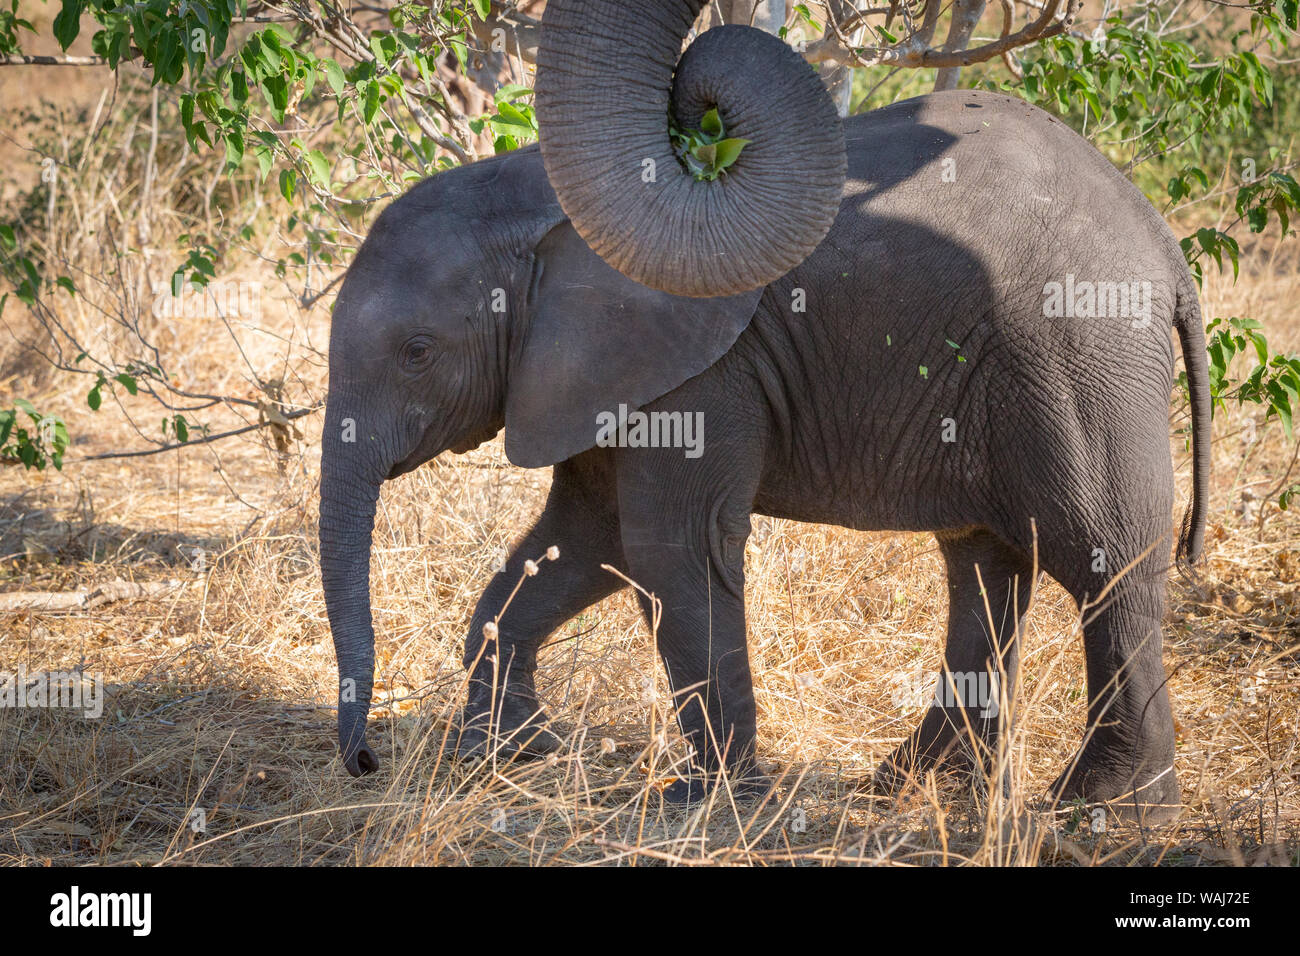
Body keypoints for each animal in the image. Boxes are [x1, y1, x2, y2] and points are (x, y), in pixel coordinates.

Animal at [318, 1, 1210, 823]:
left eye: (417, 351)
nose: (363, 760)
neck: (544, 200)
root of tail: (1167, 249)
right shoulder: (598, 376)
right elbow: (579, 541)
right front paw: (506, 753)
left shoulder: (697, 375)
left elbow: (665, 548)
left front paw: (708, 804)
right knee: (988, 567)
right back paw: (913, 790)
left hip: (1077, 357)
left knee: (1103, 560)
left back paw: (1105, 809)